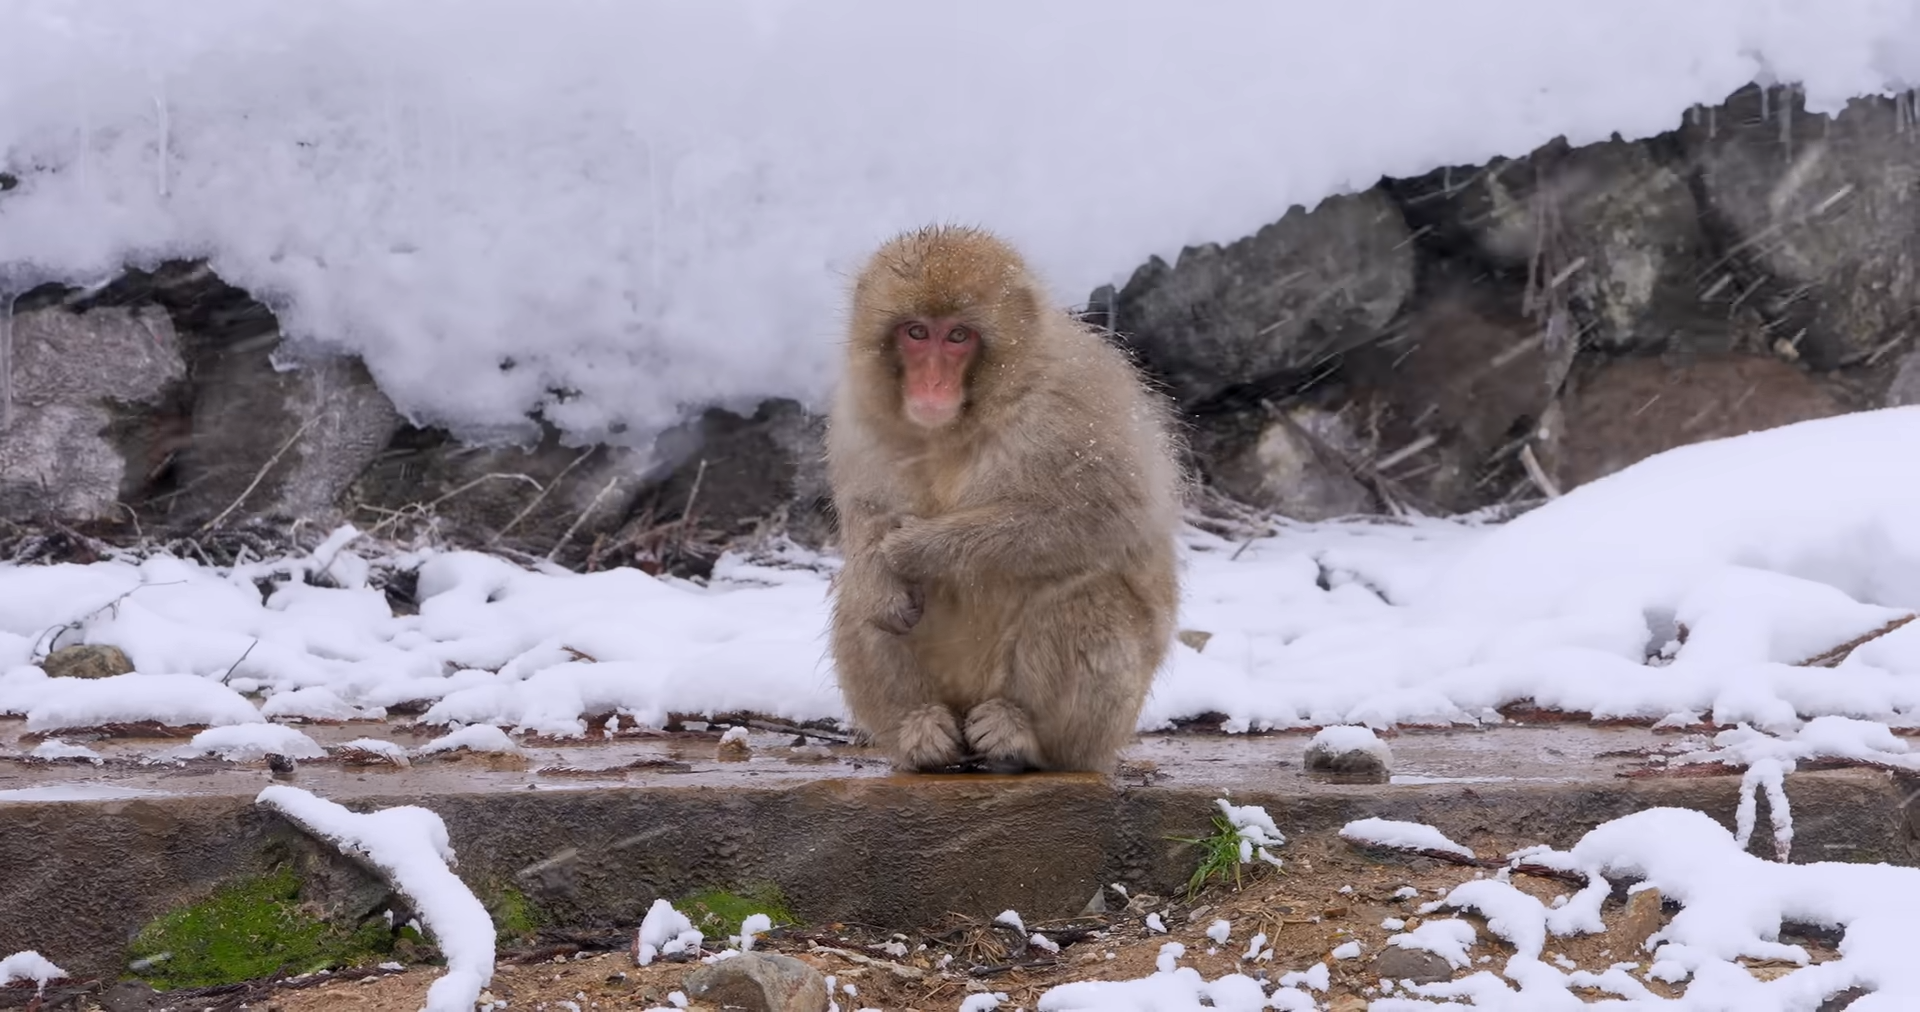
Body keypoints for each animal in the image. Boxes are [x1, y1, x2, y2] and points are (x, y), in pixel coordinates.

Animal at [825, 224, 1184, 774]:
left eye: (958, 337)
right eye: (916, 332)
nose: (932, 383)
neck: (959, 427)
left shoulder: (1070, 404)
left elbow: (1109, 515)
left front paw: (915, 548)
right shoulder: (856, 416)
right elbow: (867, 516)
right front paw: (883, 575)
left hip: (1093, 724)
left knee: (1088, 592)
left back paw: (1022, 739)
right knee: (857, 601)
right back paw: (921, 731)